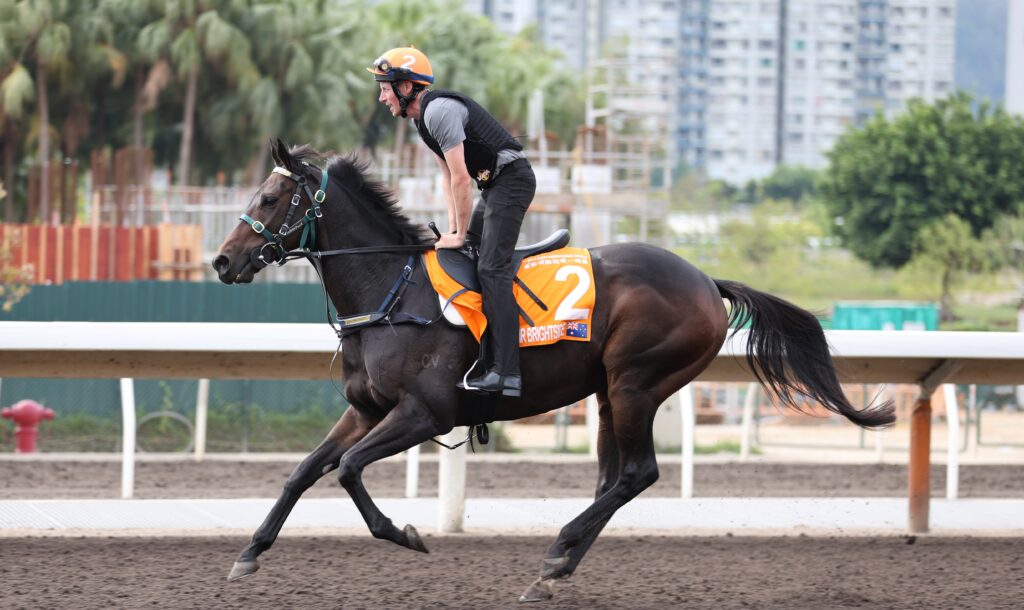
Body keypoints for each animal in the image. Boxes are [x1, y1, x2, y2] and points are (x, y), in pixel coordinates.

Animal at [212, 140, 895, 603]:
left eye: (269, 198)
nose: (221, 261)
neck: (392, 289)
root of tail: (706, 281)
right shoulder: (366, 409)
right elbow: (304, 471)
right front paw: (249, 553)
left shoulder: (423, 413)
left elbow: (350, 470)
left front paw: (405, 532)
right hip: (608, 394)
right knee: (613, 478)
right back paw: (557, 567)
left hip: (635, 382)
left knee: (638, 473)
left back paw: (557, 551)